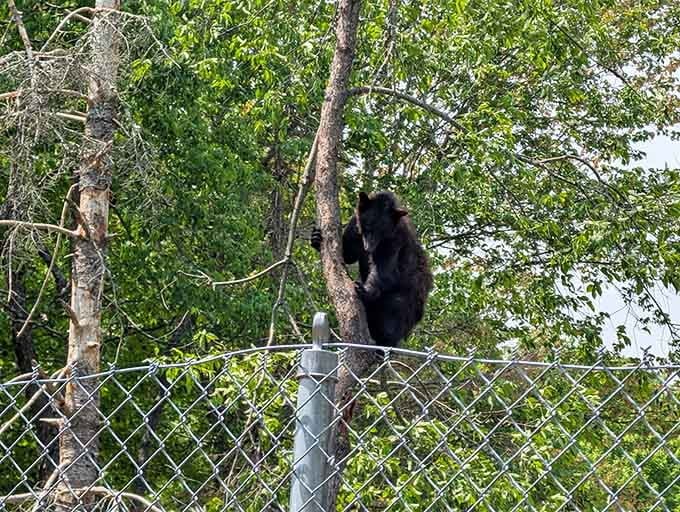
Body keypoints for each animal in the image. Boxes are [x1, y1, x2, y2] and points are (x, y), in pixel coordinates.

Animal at [311, 191, 433, 347]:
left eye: (382, 232)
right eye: (368, 227)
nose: (368, 248)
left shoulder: (394, 241)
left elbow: (385, 270)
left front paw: (364, 289)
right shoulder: (355, 226)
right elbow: (348, 253)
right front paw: (315, 237)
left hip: (409, 298)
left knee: (394, 314)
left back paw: (384, 342)